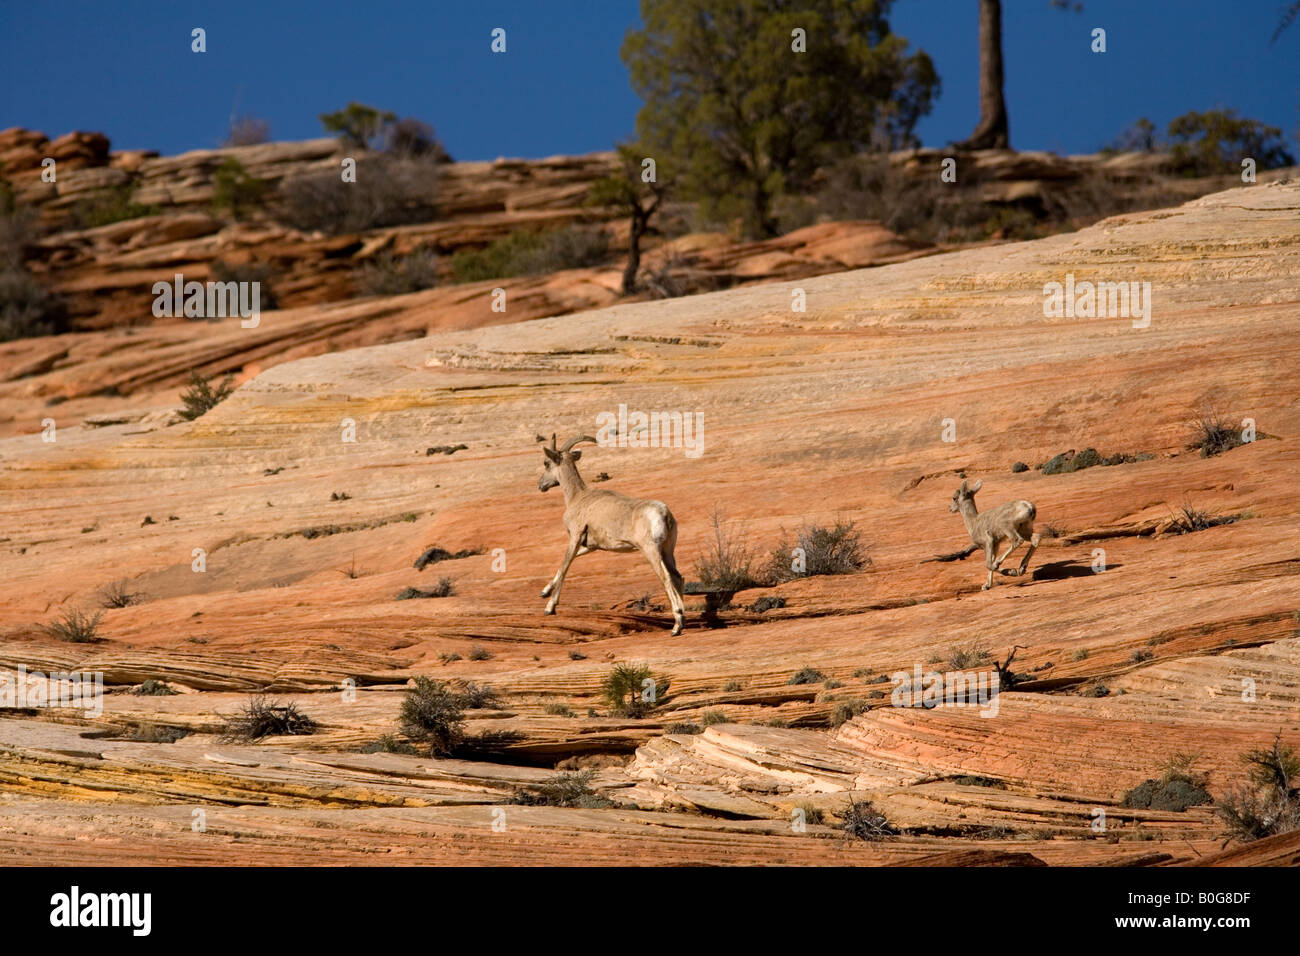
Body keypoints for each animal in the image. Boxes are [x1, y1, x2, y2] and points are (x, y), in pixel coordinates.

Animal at [537, 434, 686, 635]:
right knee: (678, 577)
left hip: (651, 551)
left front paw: (550, 607)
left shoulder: (575, 537)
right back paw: (682, 620)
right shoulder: (591, 546)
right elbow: (568, 562)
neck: (578, 497)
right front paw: (544, 592)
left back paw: (676, 626)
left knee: (666, 578)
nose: (541, 485)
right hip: (668, 551)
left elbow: (565, 564)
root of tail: (665, 513)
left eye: (546, 463)